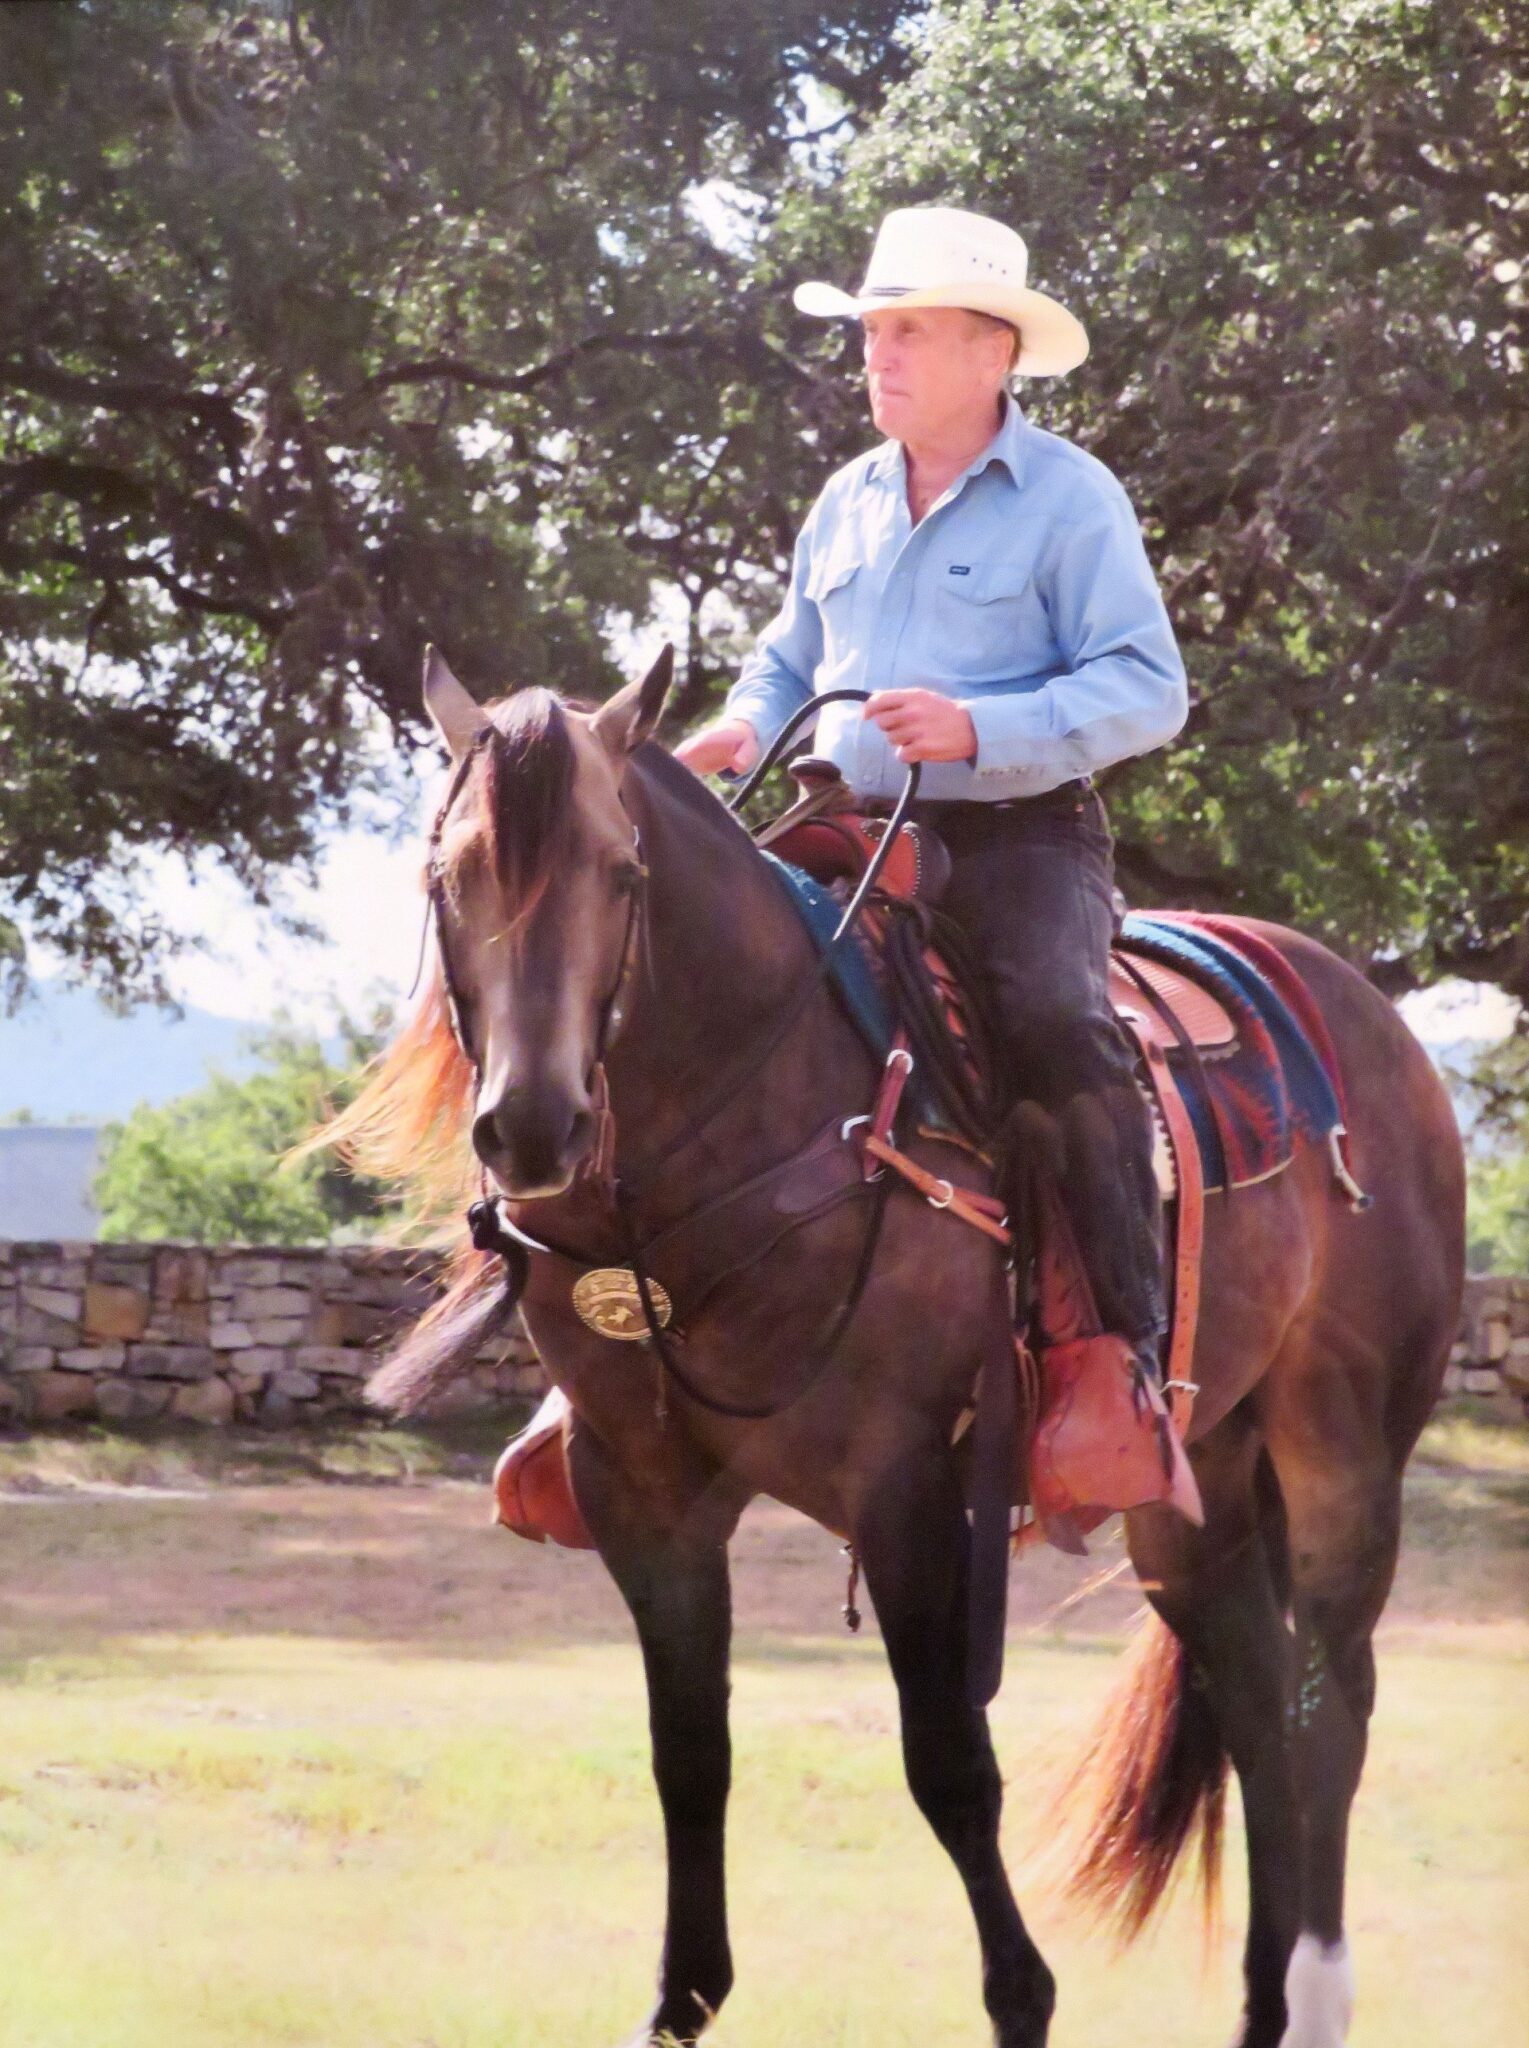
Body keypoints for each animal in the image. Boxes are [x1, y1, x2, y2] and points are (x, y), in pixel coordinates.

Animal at [328, 646, 1465, 2048]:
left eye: (621, 872)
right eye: (448, 878)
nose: (532, 1125)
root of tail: (1371, 1026)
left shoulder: (909, 1486)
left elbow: (947, 1763)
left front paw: (1023, 1996)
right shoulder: (642, 1494)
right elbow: (686, 1752)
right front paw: (681, 1997)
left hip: (1340, 1454)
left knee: (1328, 1712)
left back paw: (1313, 1992)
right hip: (1193, 1484)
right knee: (1255, 1705)